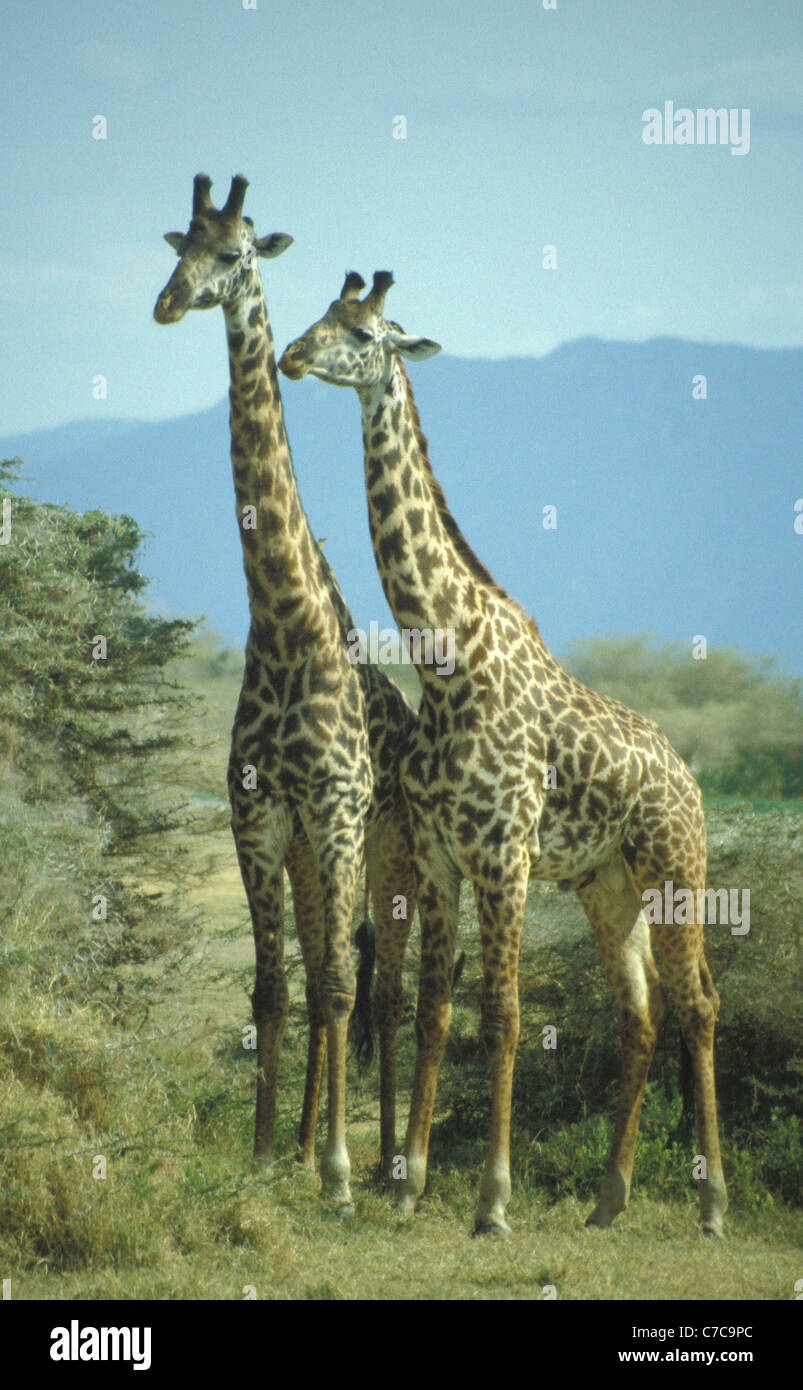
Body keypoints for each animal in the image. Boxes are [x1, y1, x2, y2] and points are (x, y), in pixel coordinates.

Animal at [153, 181, 416, 1210]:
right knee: (319, 972)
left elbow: (341, 985)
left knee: (380, 984)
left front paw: (338, 1176)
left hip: (392, 853)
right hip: (312, 852)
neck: (282, 623)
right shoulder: (260, 813)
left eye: (235, 255)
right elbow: (273, 988)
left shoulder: (339, 812)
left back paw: (375, 1163)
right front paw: (268, 1159)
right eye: (180, 246)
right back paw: (309, 1151)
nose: (168, 303)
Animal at [279, 272, 728, 1238]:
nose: (292, 356)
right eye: (321, 314)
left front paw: (490, 1201)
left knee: (699, 1003)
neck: (445, 659)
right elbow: (437, 1012)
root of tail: (688, 778)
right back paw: (607, 1199)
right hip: (606, 884)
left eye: (362, 333)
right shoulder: (441, 857)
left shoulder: (502, 855)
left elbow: (505, 1016)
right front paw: (405, 1185)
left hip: (674, 865)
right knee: (640, 1014)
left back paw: (712, 1205)